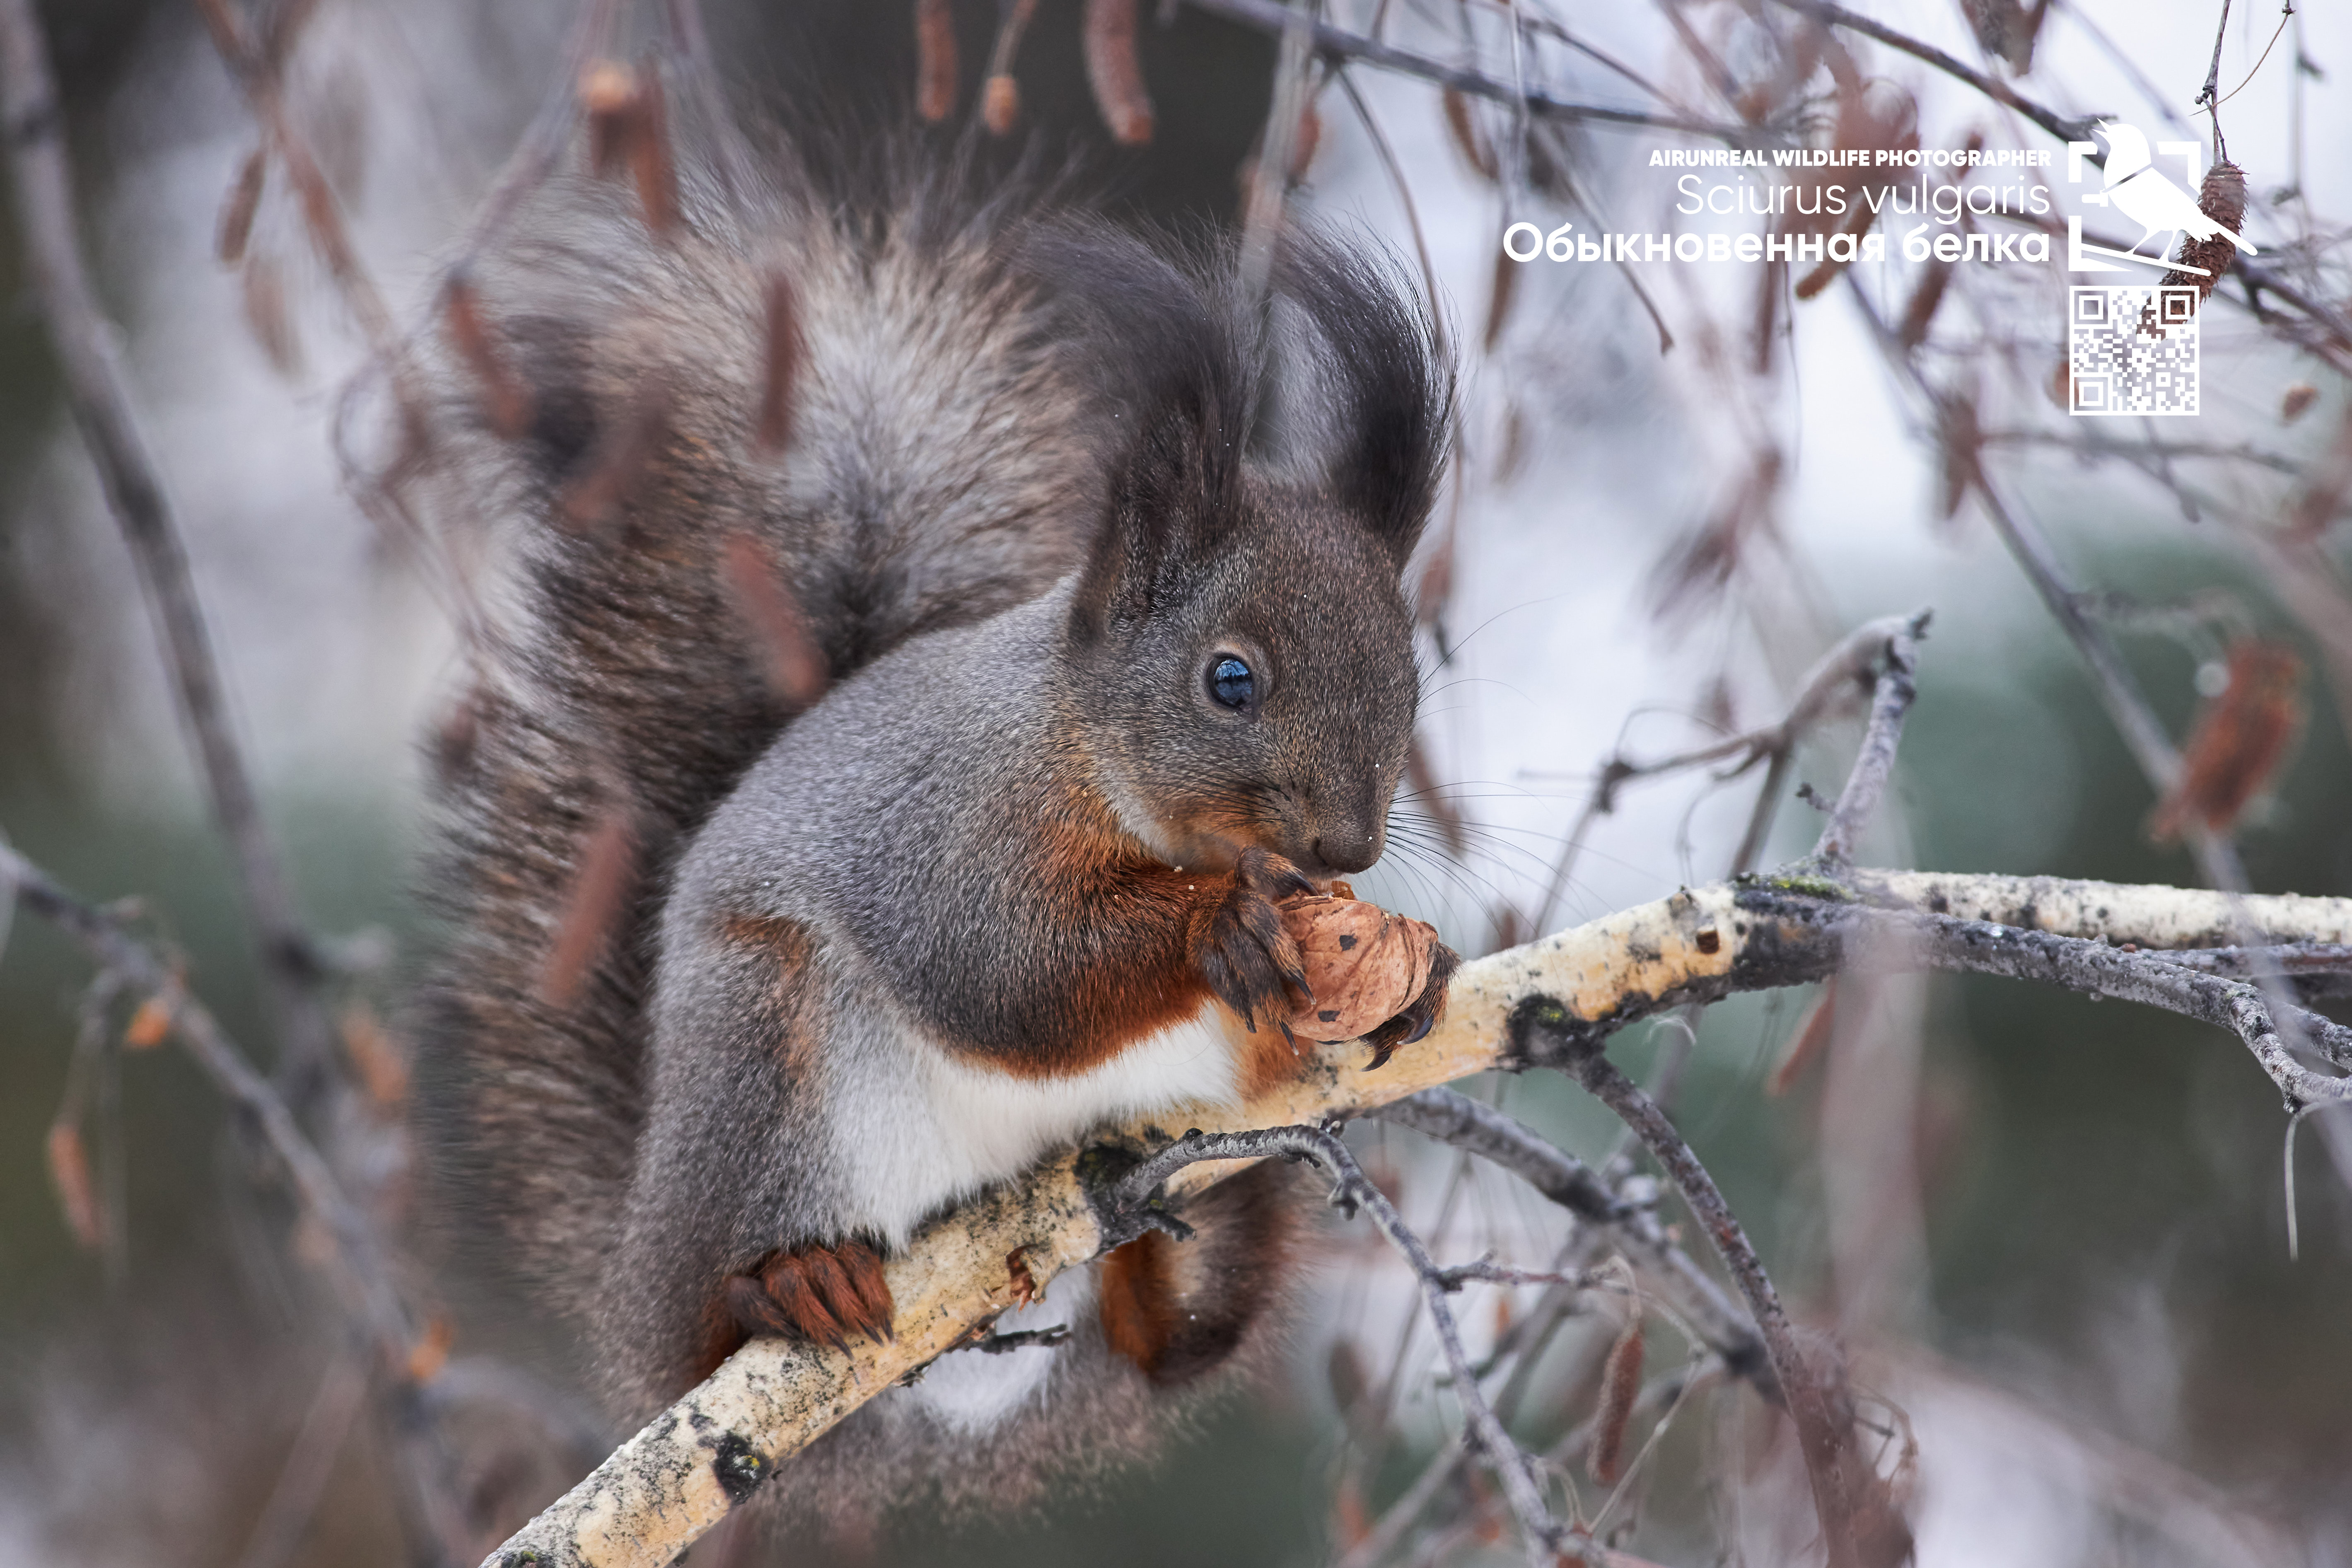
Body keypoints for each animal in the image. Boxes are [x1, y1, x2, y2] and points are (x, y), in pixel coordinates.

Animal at [414, 98, 1458, 1523]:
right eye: (1228, 679)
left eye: (1411, 679)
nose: (1345, 845)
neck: (1091, 759)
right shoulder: (946, 823)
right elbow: (999, 971)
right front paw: (1222, 925)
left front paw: (1410, 974)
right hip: (760, 1058)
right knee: (717, 1303)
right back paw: (783, 1279)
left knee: (1164, 1341)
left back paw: (1188, 1265)